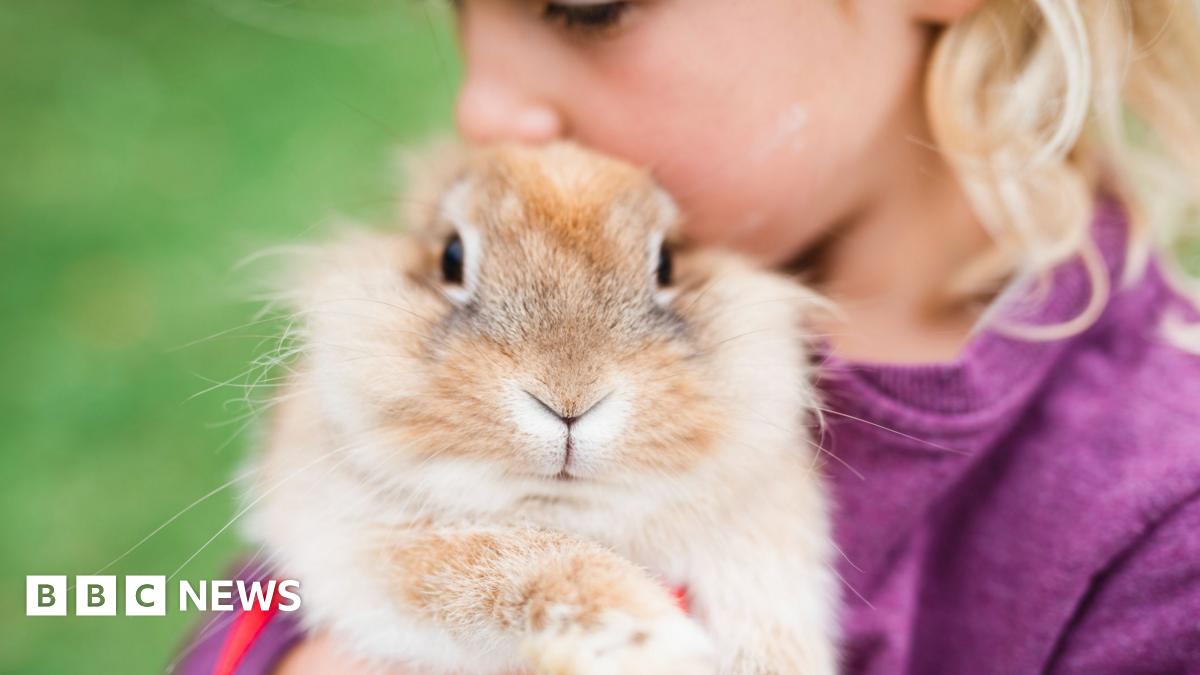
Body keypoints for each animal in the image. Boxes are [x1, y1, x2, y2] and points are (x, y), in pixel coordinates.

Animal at [240, 141, 839, 675]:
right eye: (451, 256)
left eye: (667, 263)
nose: (569, 400)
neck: (563, 507)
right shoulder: (368, 550)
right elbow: (515, 559)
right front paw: (648, 645)